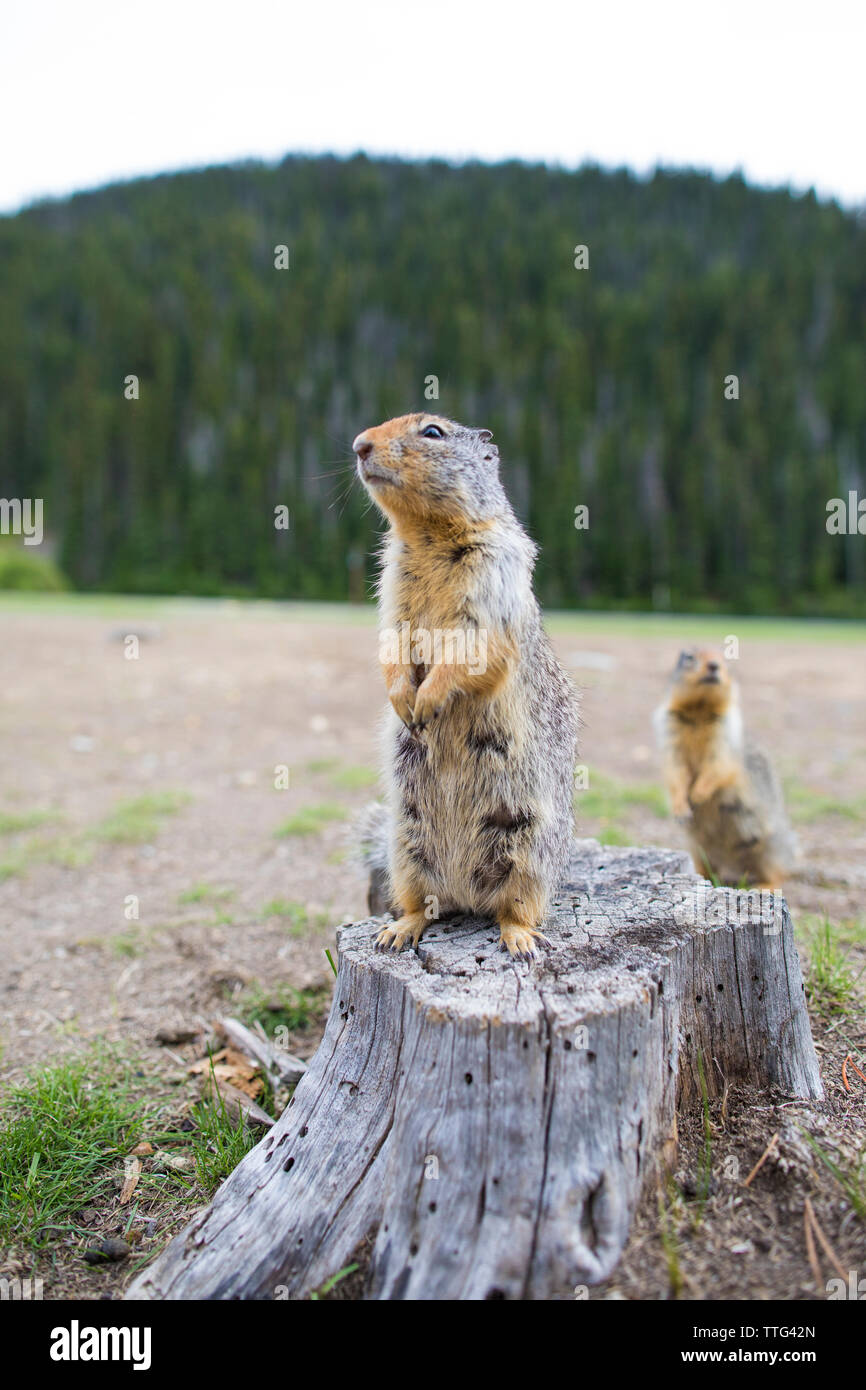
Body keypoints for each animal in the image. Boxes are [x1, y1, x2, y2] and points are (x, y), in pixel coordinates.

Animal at [352, 412, 578, 957]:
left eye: (432, 432)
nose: (358, 445)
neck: (427, 535)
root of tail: (468, 897)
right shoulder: (393, 588)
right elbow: (393, 642)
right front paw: (403, 700)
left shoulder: (493, 578)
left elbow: (472, 647)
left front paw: (427, 702)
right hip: (406, 845)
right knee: (423, 904)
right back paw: (399, 929)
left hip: (529, 850)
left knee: (515, 909)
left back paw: (520, 939)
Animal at [654, 646, 796, 889]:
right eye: (689, 656)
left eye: (726, 659)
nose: (713, 665)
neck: (699, 711)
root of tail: (736, 867)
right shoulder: (670, 732)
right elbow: (676, 772)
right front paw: (681, 808)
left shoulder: (725, 734)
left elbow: (718, 766)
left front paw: (698, 795)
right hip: (697, 846)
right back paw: (701, 875)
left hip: (770, 845)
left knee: (780, 873)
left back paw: (763, 885)